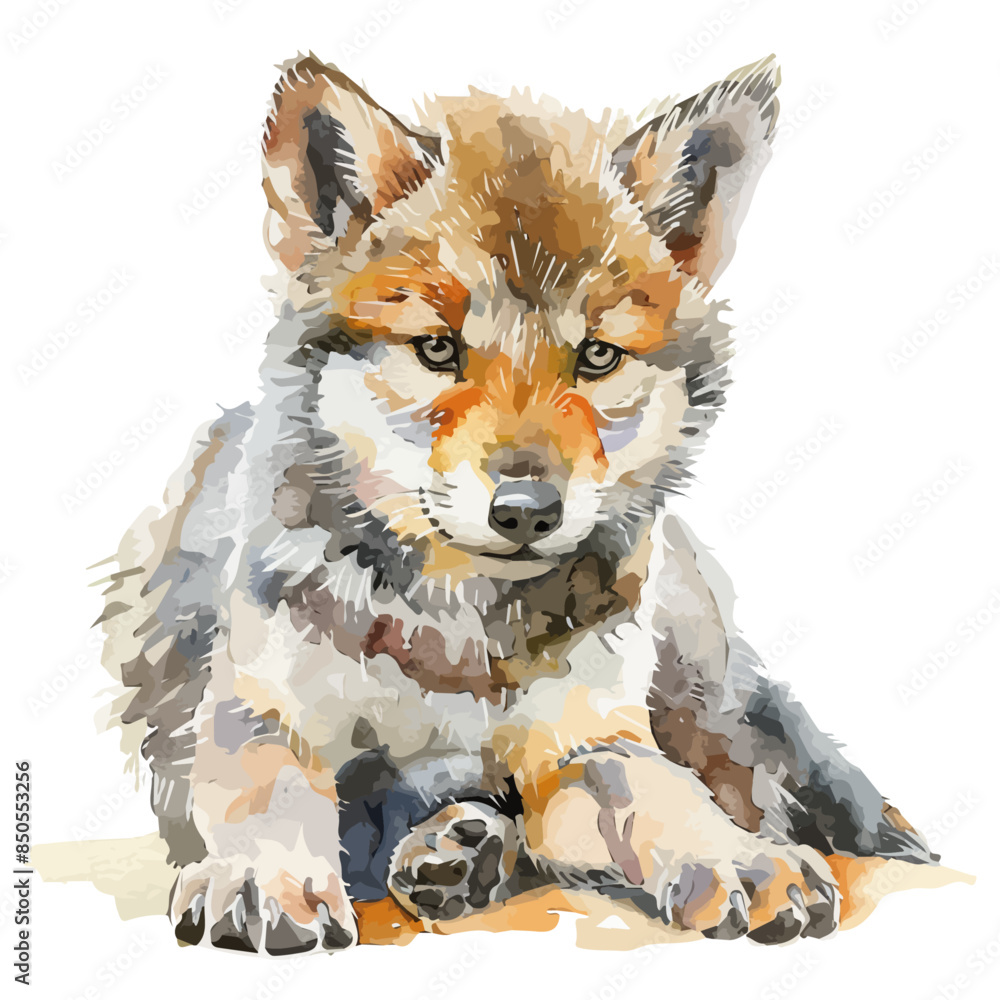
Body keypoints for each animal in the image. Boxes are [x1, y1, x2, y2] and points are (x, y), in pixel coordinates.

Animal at [98, 54, 937, 954]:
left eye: (597, 357)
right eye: (437, 348)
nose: (528, 509)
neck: (455, 633)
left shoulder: (589, 744)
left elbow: (669, 796)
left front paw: (739, 859)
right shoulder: (258, 715)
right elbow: (268, 791)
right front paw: (264, 878)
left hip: (708, 697)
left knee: (746, 783)